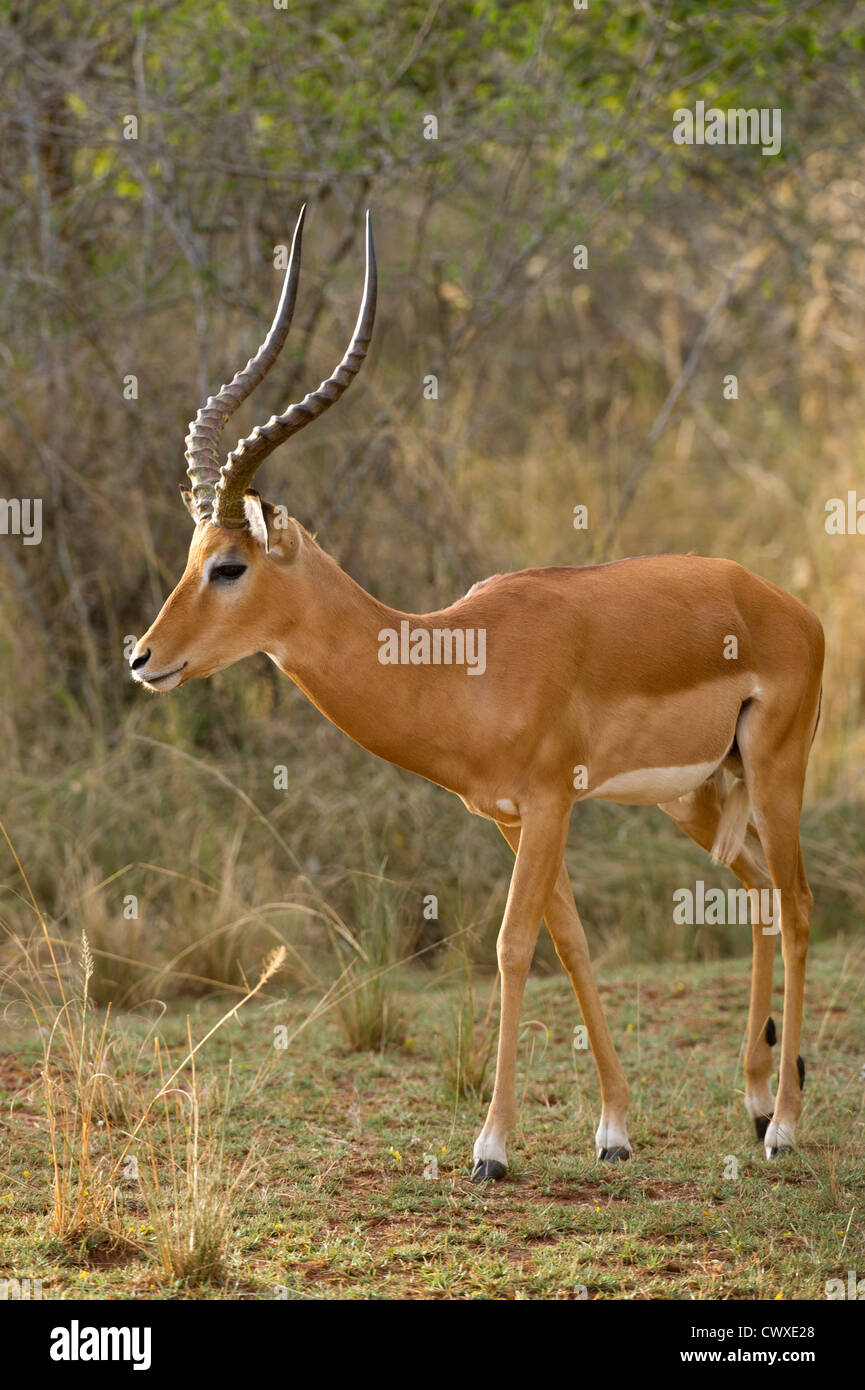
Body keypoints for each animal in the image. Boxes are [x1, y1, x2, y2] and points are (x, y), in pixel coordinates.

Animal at [131, 207, 825, 1176]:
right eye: (193, 555)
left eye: (229, 565)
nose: (143, 658)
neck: (452, 662)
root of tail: (786, 606)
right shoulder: (510, 817)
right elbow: (569, 941)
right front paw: (612, 1129)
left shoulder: (547, 805)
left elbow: (510, 945)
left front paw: (491, 1147)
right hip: (694, 795)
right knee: (758, 894)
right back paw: (757, 1103)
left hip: (771, 770)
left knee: (795, 904)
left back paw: (786, 1127)